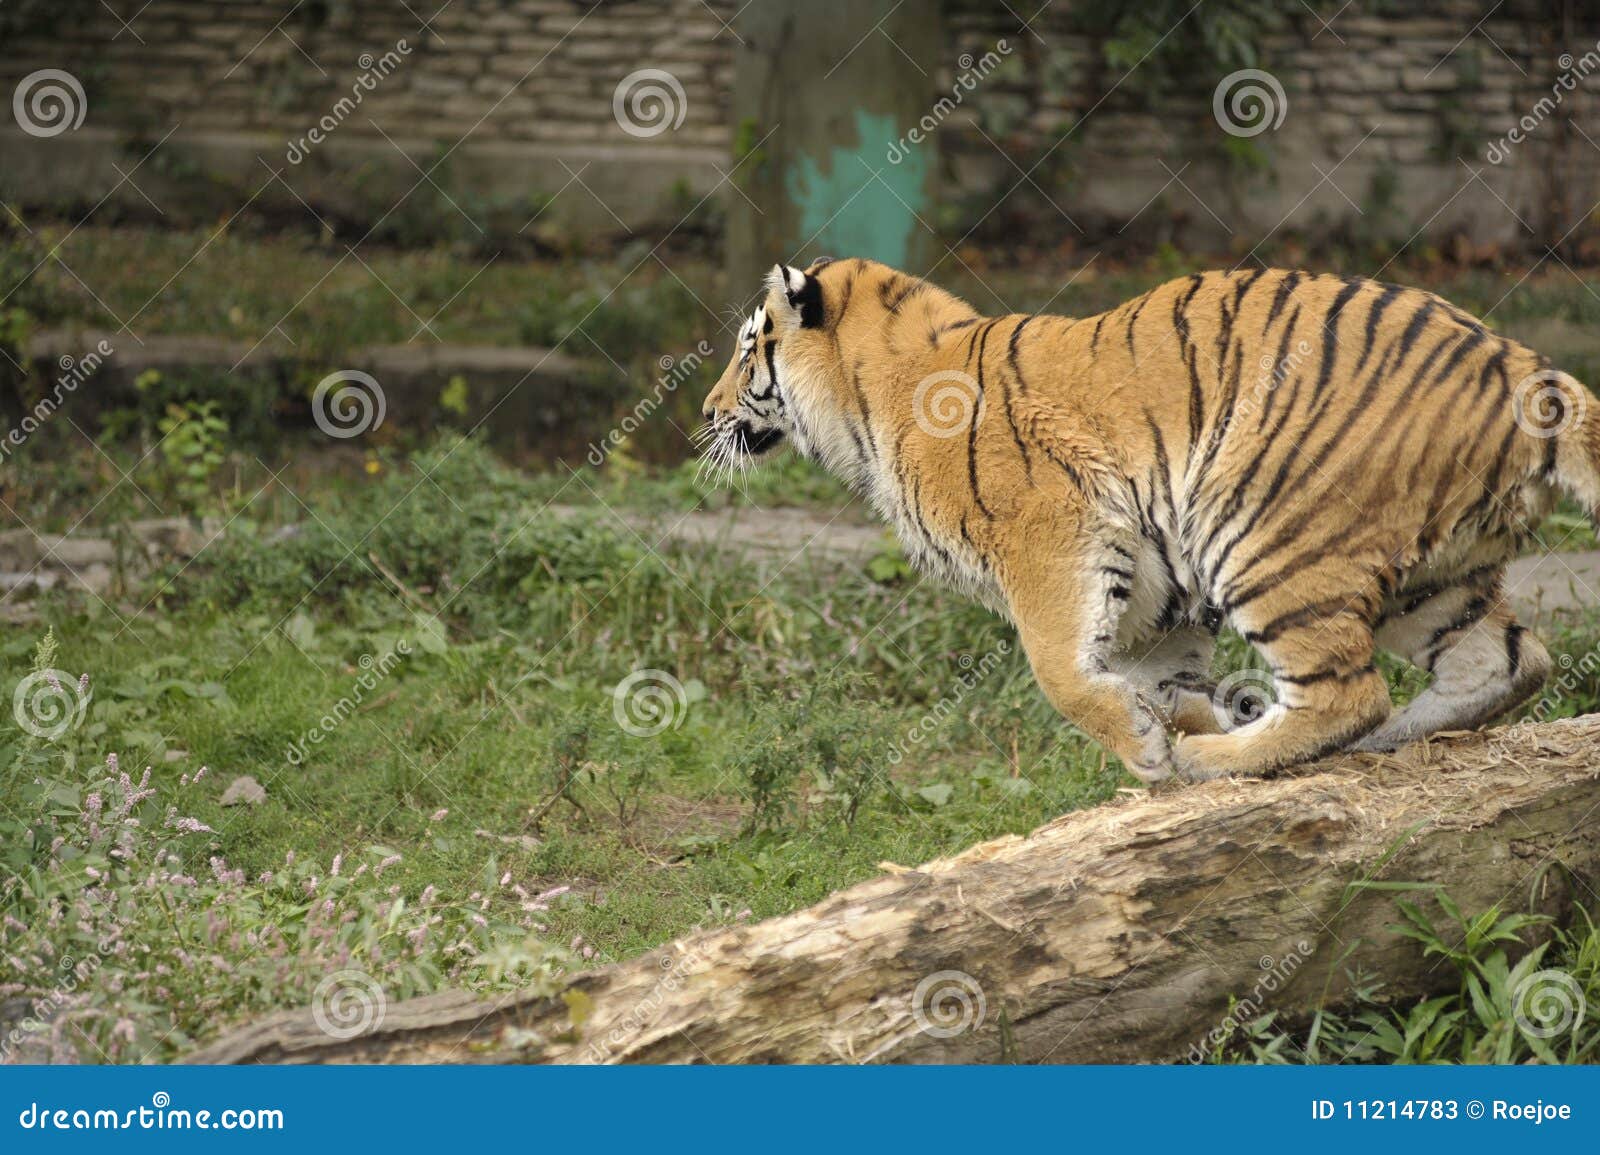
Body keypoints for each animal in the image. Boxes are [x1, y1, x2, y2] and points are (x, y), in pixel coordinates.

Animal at [699, 257, 1600, 783]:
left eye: (747, 349)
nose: (704, 412)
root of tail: (1525, 366)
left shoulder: (1053, 538)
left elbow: (1060, 674)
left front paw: (1151, 747)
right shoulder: (1149, 585)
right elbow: (1160, 675)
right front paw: (1173, 720)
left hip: (1263, 528)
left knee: (1352, 691)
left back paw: (1226, 757)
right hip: (1432, 576)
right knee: (1509, 660)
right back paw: (1372, 742)